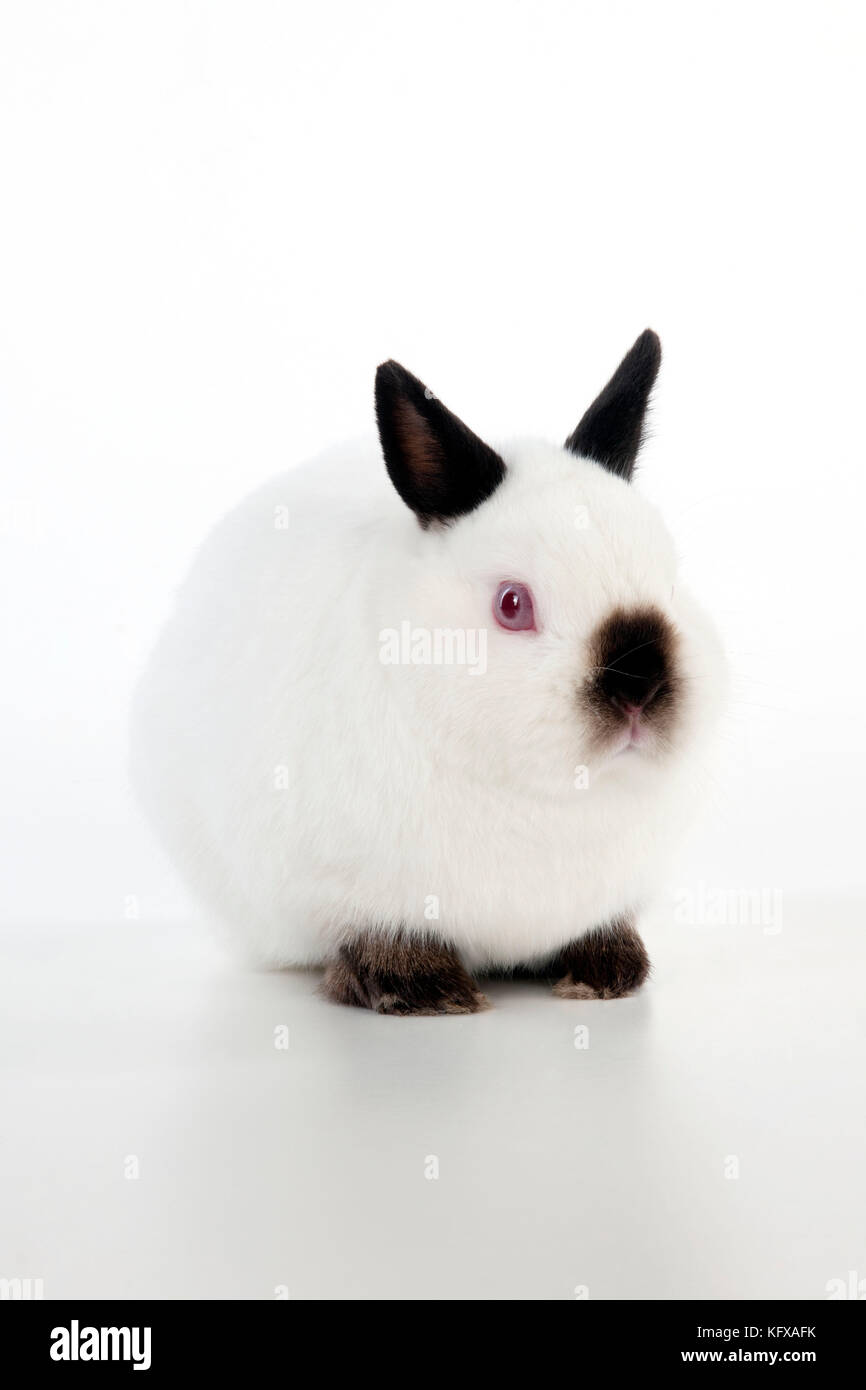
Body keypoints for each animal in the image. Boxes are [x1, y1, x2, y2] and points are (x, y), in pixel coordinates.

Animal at [131, 330, 725, 1014]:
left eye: (673, 582)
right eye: (512, 604)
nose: (641, 688)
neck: (543, 794)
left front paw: (606, 970)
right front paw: (421, 985)